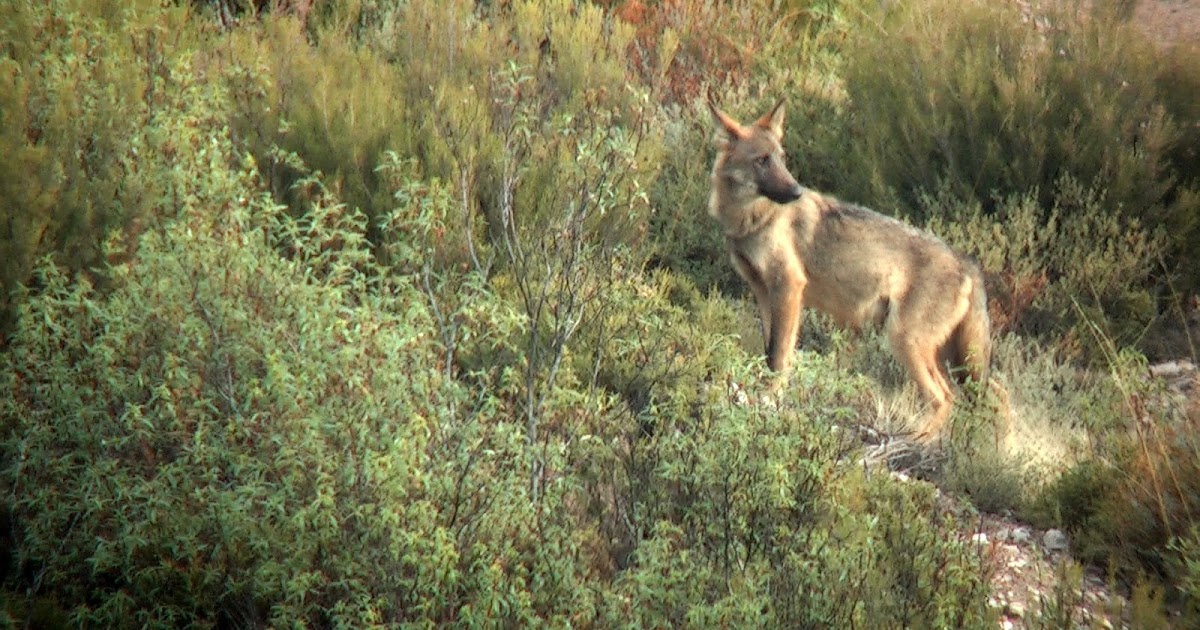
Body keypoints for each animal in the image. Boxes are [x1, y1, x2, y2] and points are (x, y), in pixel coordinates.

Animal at [707, 98, 994, 441]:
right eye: (762, 160)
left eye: (781, 158)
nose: (796, 191)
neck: (750, 220)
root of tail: (967, 261)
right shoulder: (763, 293)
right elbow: (770, 352)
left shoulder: (789, 287)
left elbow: (780, 356)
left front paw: (768, 399)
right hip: (951, 358)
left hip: (906, 342)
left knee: (944, 398)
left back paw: (913, 441)